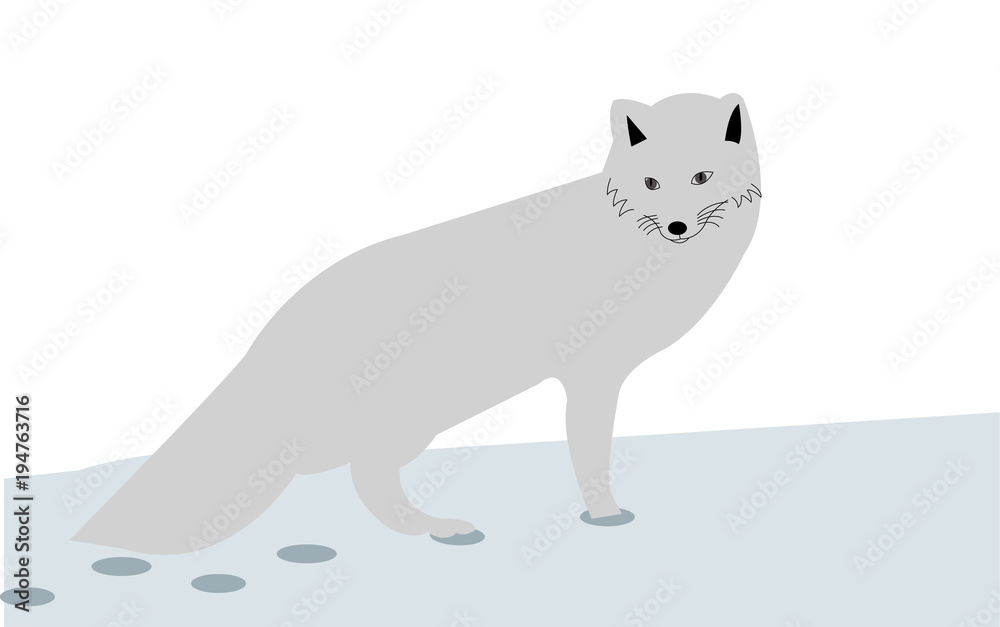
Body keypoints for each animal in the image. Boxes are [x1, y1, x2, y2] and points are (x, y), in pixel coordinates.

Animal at [72, 92, 762, 553]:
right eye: (651, 183)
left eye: (701, 177)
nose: (676, 226)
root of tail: (273, 344)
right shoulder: (592, 376)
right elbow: (590, 453)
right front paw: (605, 512)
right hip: (407, 421)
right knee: (368, 480)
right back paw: (439, 528)